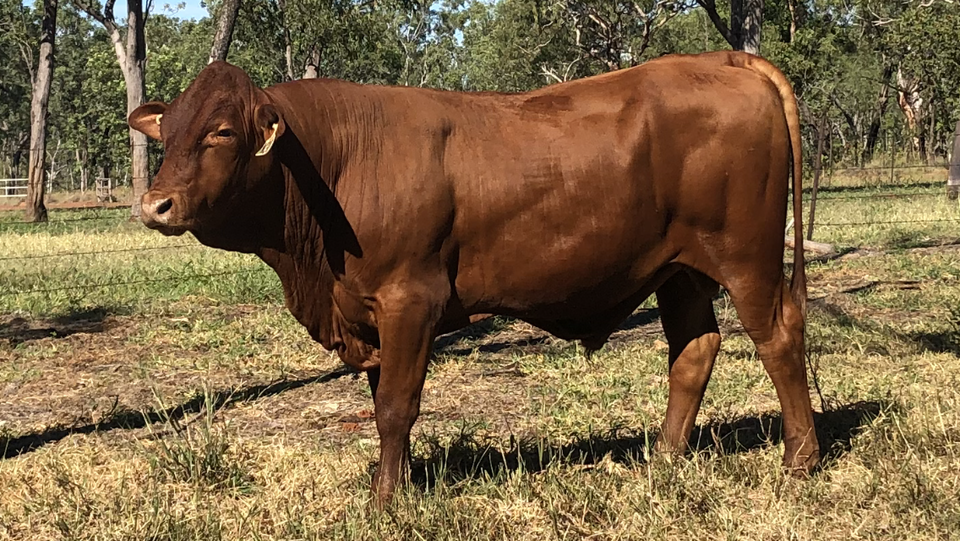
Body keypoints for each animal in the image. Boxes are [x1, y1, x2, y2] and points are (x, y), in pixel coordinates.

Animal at [128, 51, 819, 506]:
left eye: (221, 131)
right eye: (170, 130)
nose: (154, 205)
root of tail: (721, 58)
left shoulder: (412, 299)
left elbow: (396, 406)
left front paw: (385, 501)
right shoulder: (373, 311)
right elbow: (383, 402)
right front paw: (398, 482)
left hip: (746, 256)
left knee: (779, 338)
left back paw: (799, 462)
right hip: (678, 270)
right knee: (694, 351)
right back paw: (664, 460)